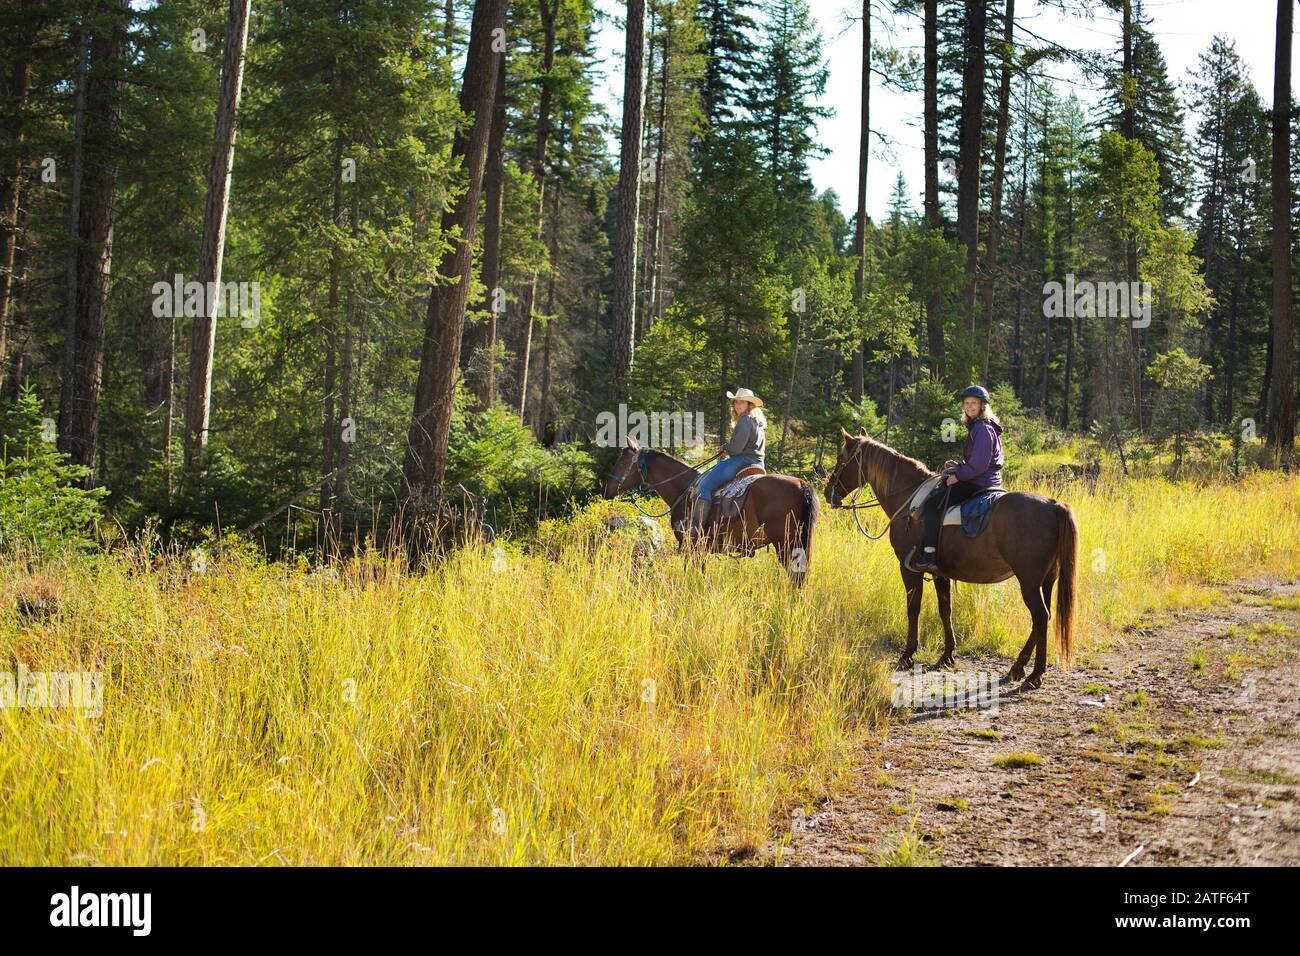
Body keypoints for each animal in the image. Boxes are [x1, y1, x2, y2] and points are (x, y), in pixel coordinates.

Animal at [603, 439, 819, 586]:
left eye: (622, 461)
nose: (605, 489)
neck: (684, 490)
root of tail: (802, 484)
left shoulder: (690, 546)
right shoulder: (701, 549)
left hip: (786, 545)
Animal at [824, 429, 1078, 689]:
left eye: (841, 458)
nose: (828, 493)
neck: (908, 500)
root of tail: (1053, 505)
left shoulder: (909, 569)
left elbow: (913, 608)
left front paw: (907, 655)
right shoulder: (940, 573)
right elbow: (945, 609)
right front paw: (946, 656)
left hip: (1029, 581)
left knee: (1041, 616)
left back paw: (1034, 675)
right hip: (1047, 579)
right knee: (1043, 618)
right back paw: (1017, 668)